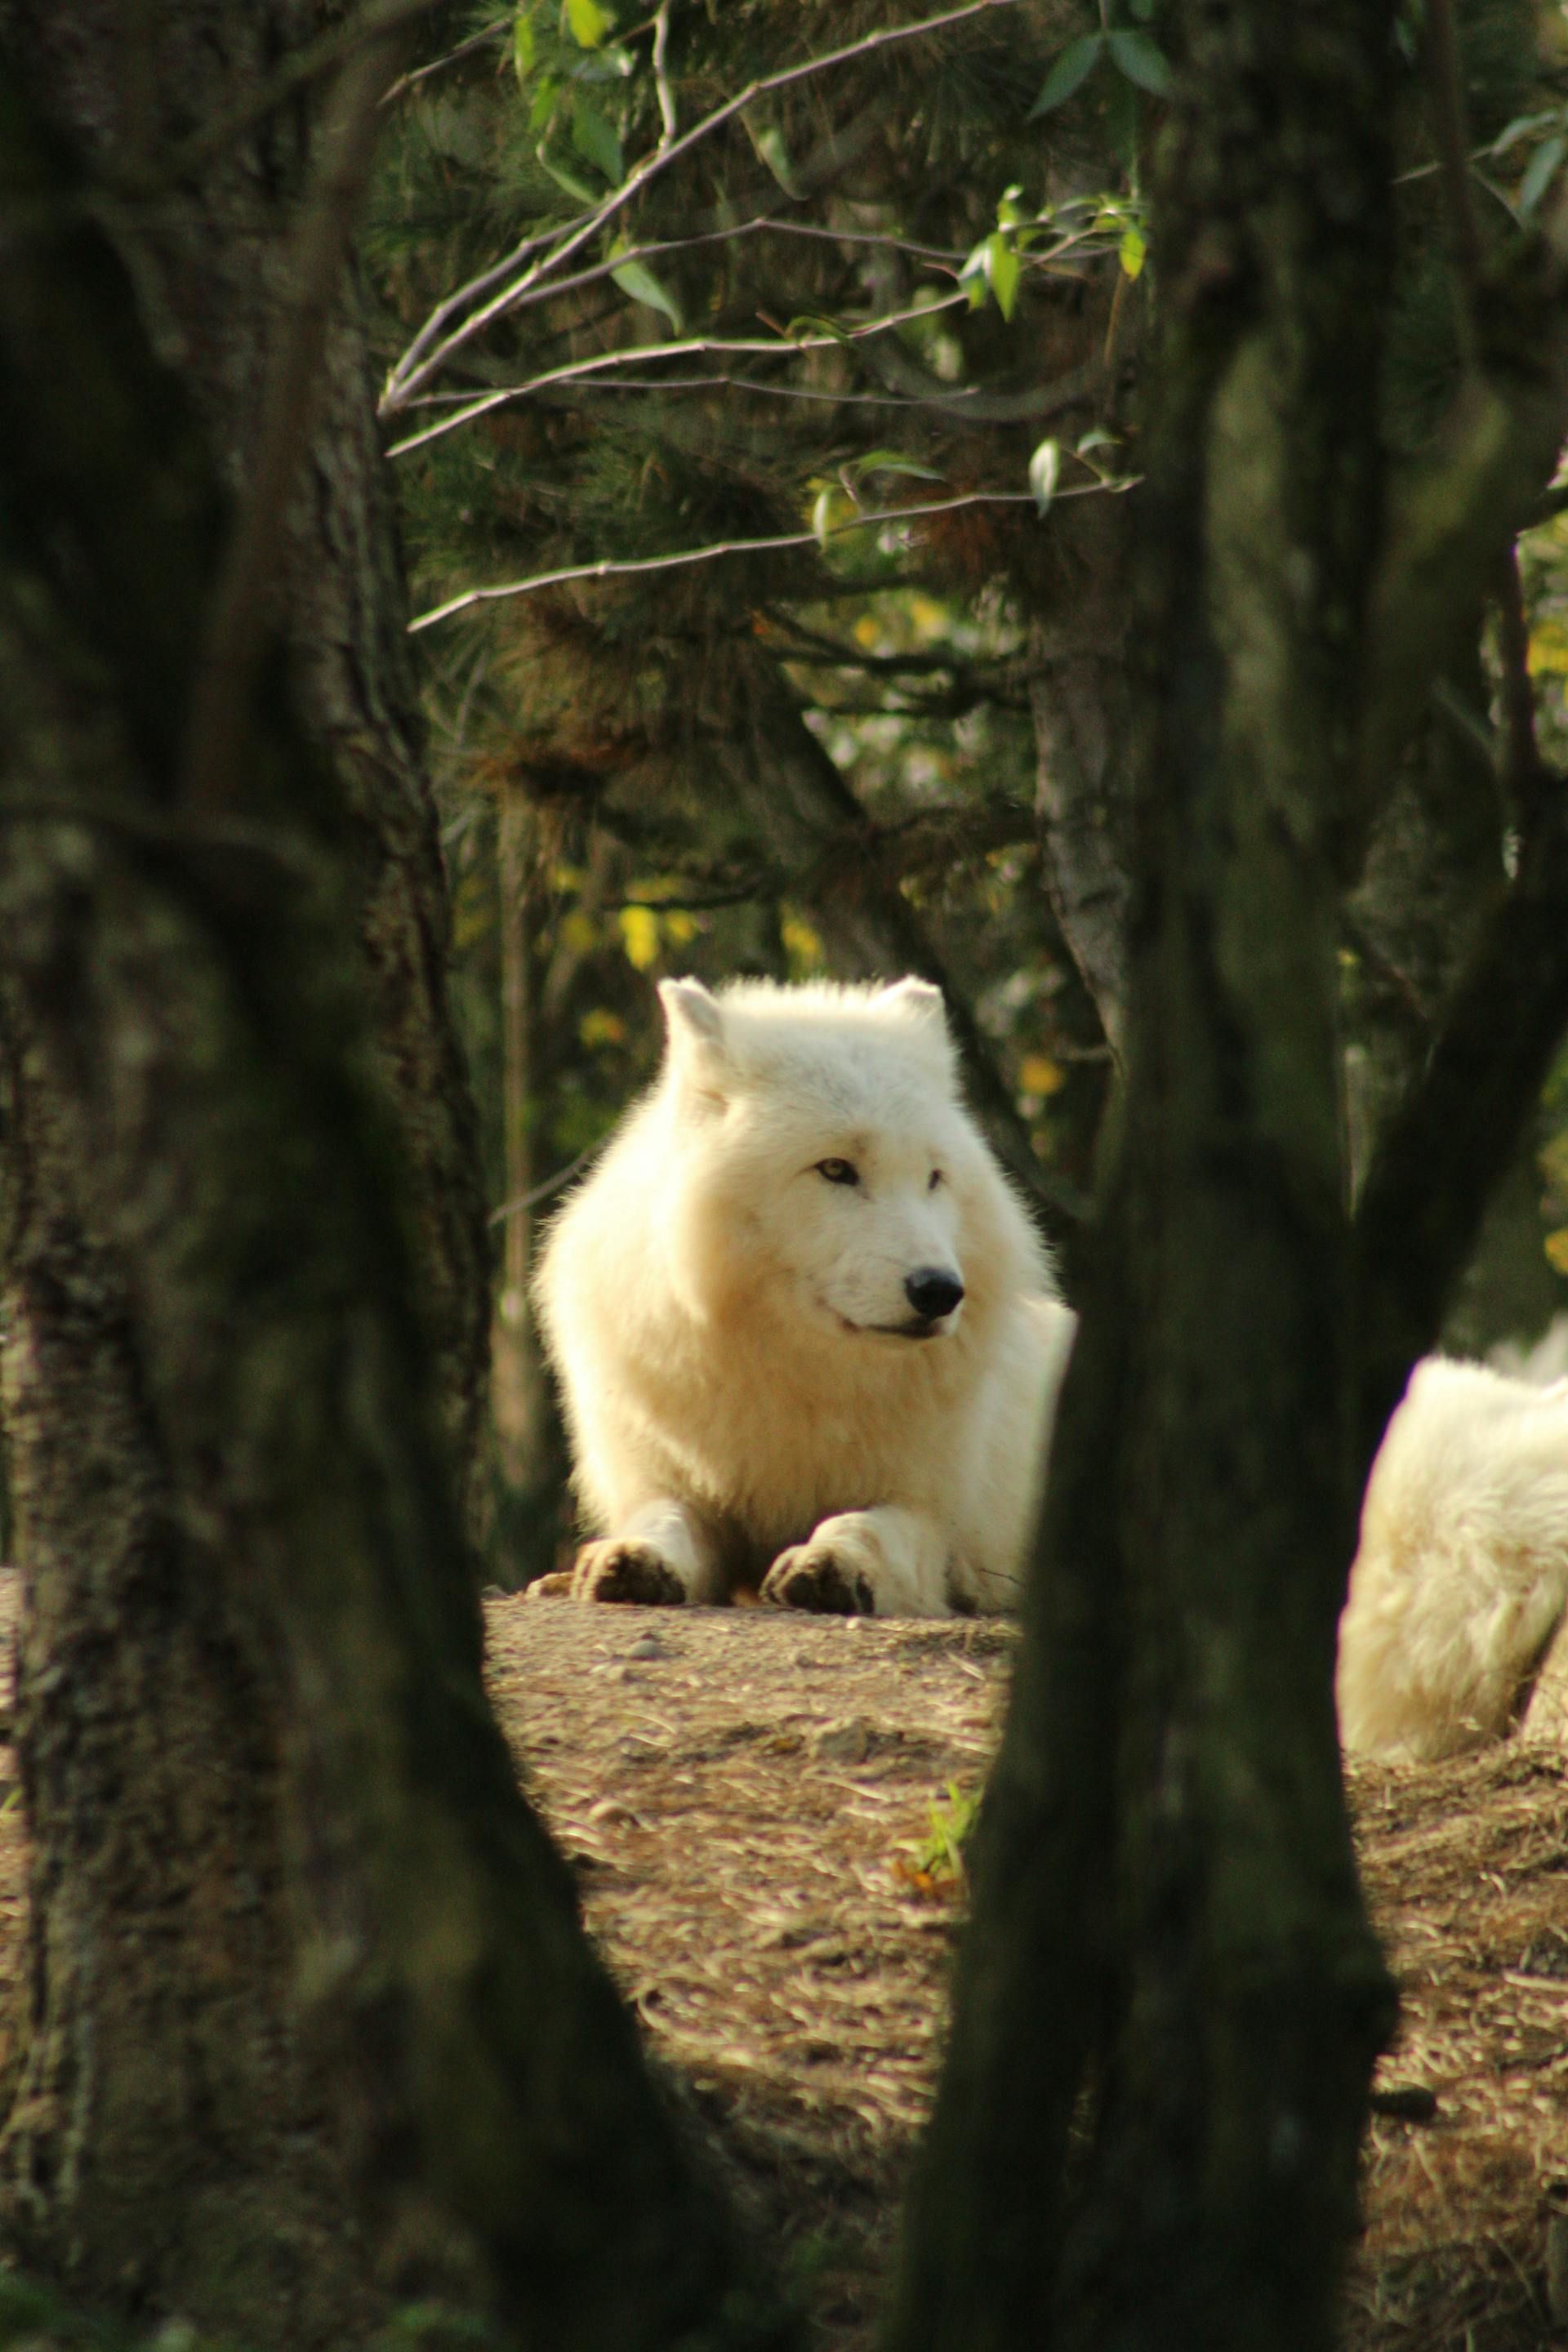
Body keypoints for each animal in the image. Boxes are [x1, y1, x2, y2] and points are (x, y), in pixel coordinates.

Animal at [533, 974, 1076, 1616]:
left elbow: (862, 1524)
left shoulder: (930, 1517)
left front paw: (830, 1564)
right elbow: (664, 1519)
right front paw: (633, 1559)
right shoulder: (670, 1482)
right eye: (836, 1169)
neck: (798, 1379)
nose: (940, 1291)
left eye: (933, 1178)